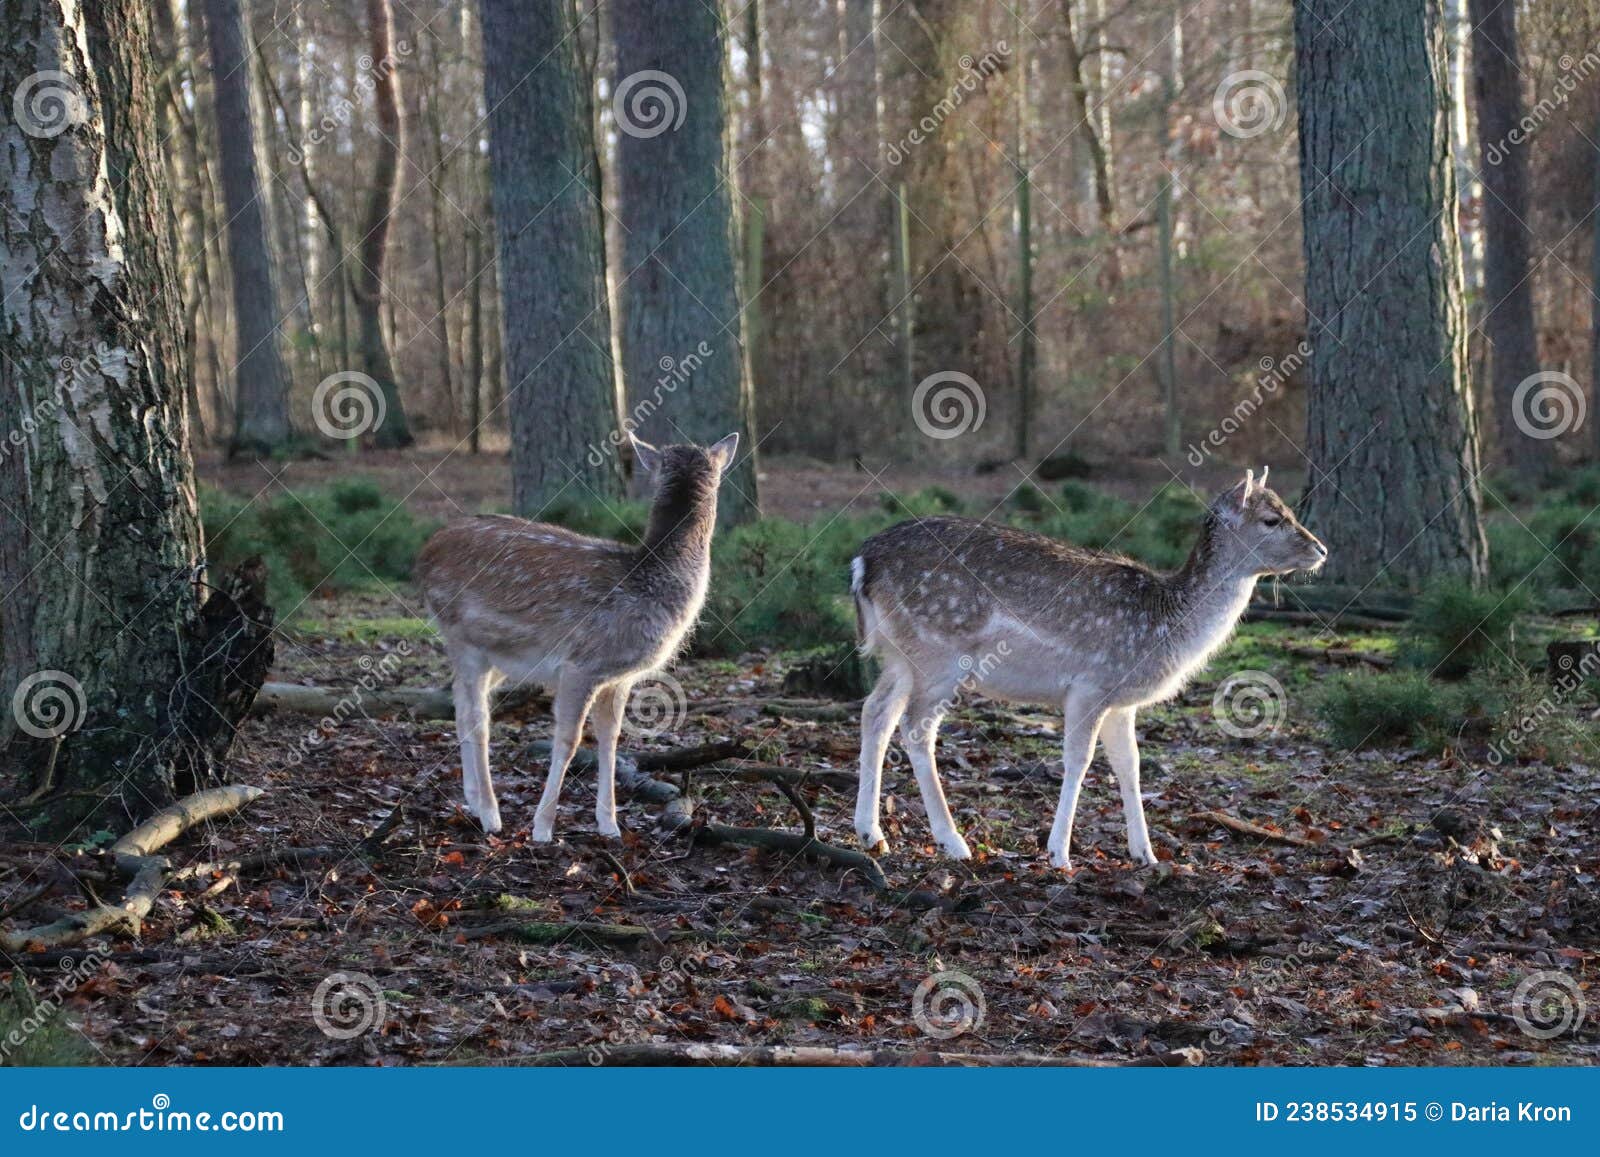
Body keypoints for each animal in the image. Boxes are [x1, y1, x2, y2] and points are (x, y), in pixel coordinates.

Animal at [415, 432, 739, 843]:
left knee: (459, 706)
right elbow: (568, 742)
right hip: (462, 635)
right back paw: (491, 814)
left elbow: (611, 740)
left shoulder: (619, 677)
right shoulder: (581, 664)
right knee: (477, 717)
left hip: (497, 654)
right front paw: (542, 828)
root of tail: (426, 551)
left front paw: (610, 825)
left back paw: (474, 802)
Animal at [850, 469, 1326, 870]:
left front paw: (1146, 854)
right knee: (916, 727)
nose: (1321, 549)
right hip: (938, 653)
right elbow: (1079, 760)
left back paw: (872, 834)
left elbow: (1130, 764)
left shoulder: (1122, 702)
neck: (1164, 625)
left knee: (875, 712)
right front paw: (1059, 854)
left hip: (901, 656)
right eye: (1271, 519)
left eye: (1289, 510)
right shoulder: (1090, 684)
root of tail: (860, 562)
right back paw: (952, 841)